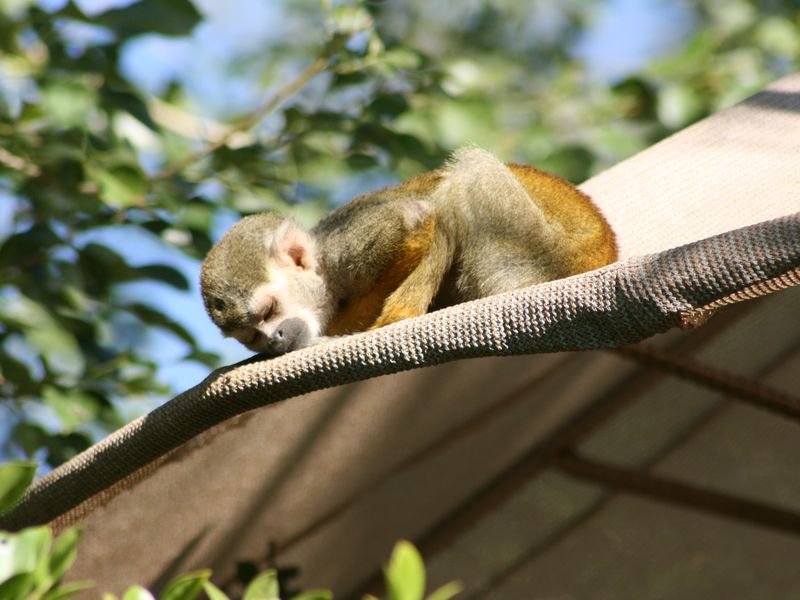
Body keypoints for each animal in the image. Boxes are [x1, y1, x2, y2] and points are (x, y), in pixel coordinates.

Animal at [200, 147, 617, 356]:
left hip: (531, 242)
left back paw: (393, 321)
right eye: (251, 338)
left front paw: (354, 320)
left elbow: (416, 219)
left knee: (463, 182)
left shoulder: (347, 247)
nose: (273, 340)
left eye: (269, 312)